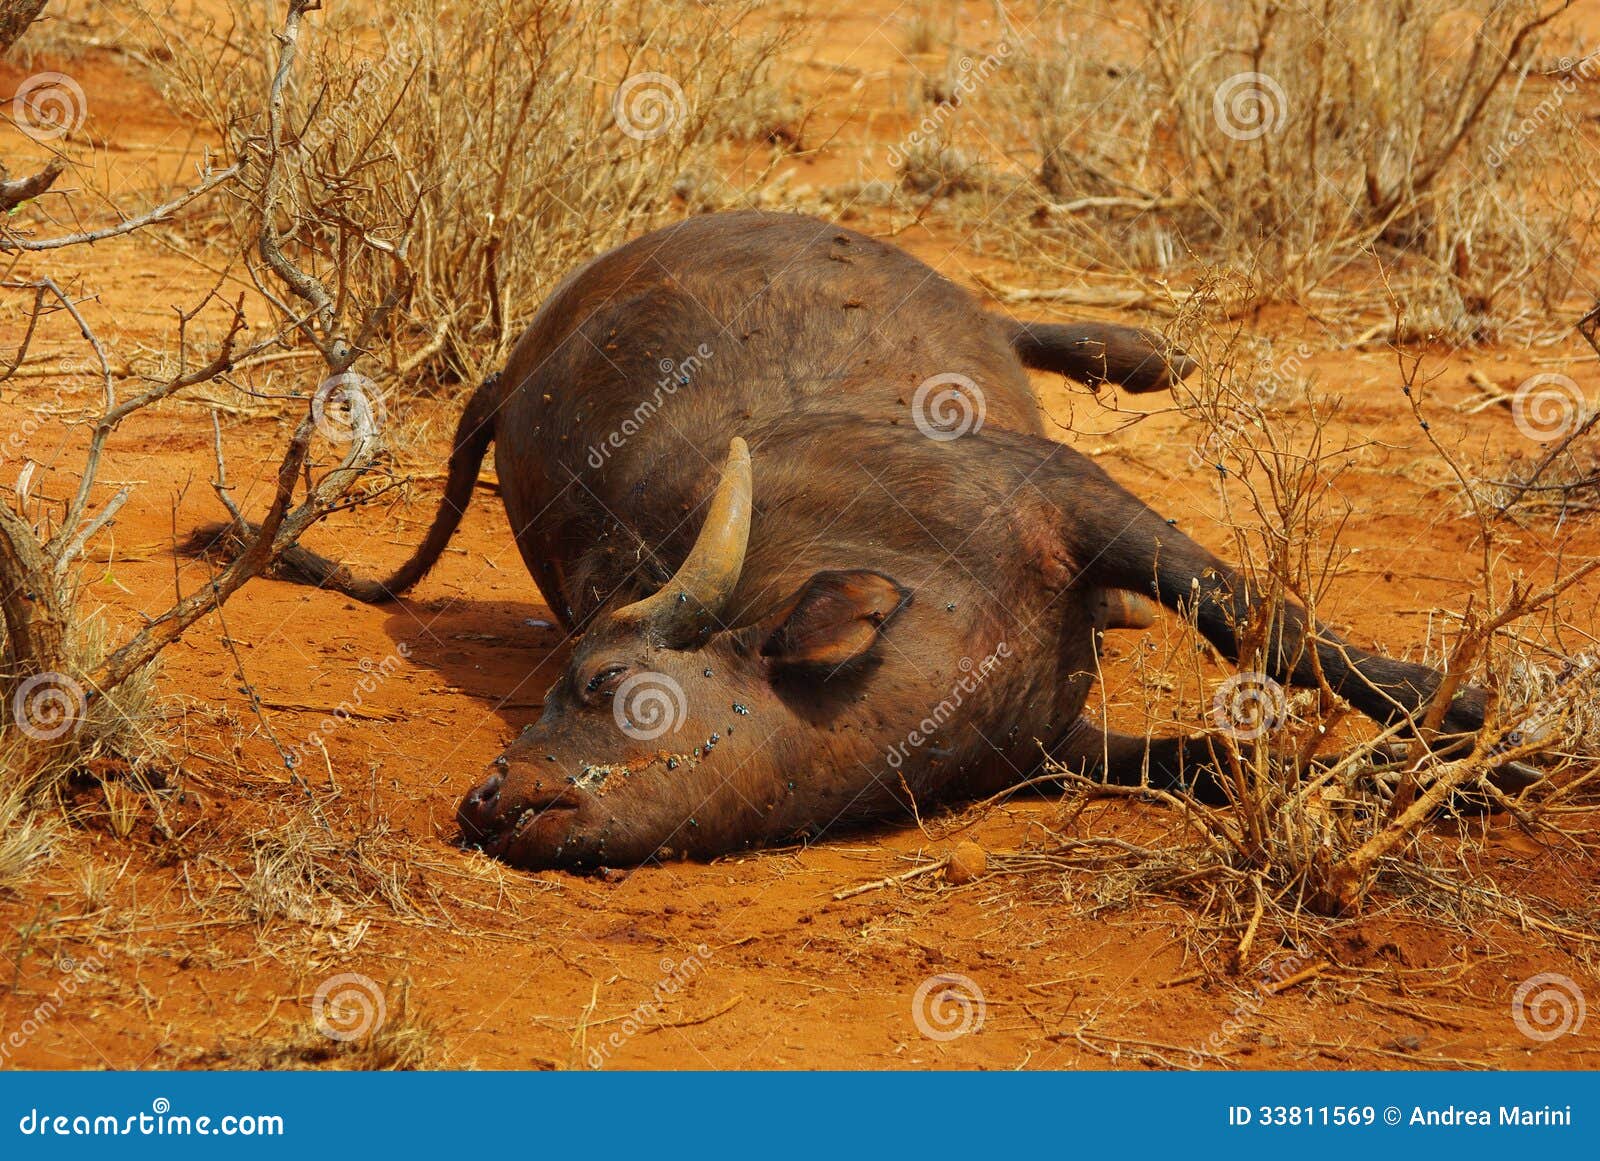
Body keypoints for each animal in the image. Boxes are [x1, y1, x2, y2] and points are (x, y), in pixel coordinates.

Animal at [223, 211, 1507, 869]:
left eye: (601, 684)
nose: (488, 802)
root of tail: (513, 365)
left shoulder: (1086, 505)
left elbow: (1272, 628)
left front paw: (1478, 731)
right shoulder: (1052, 747)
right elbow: (1217, 760)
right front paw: (1418, 774)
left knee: (1012, 324)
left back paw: (1143, 353)